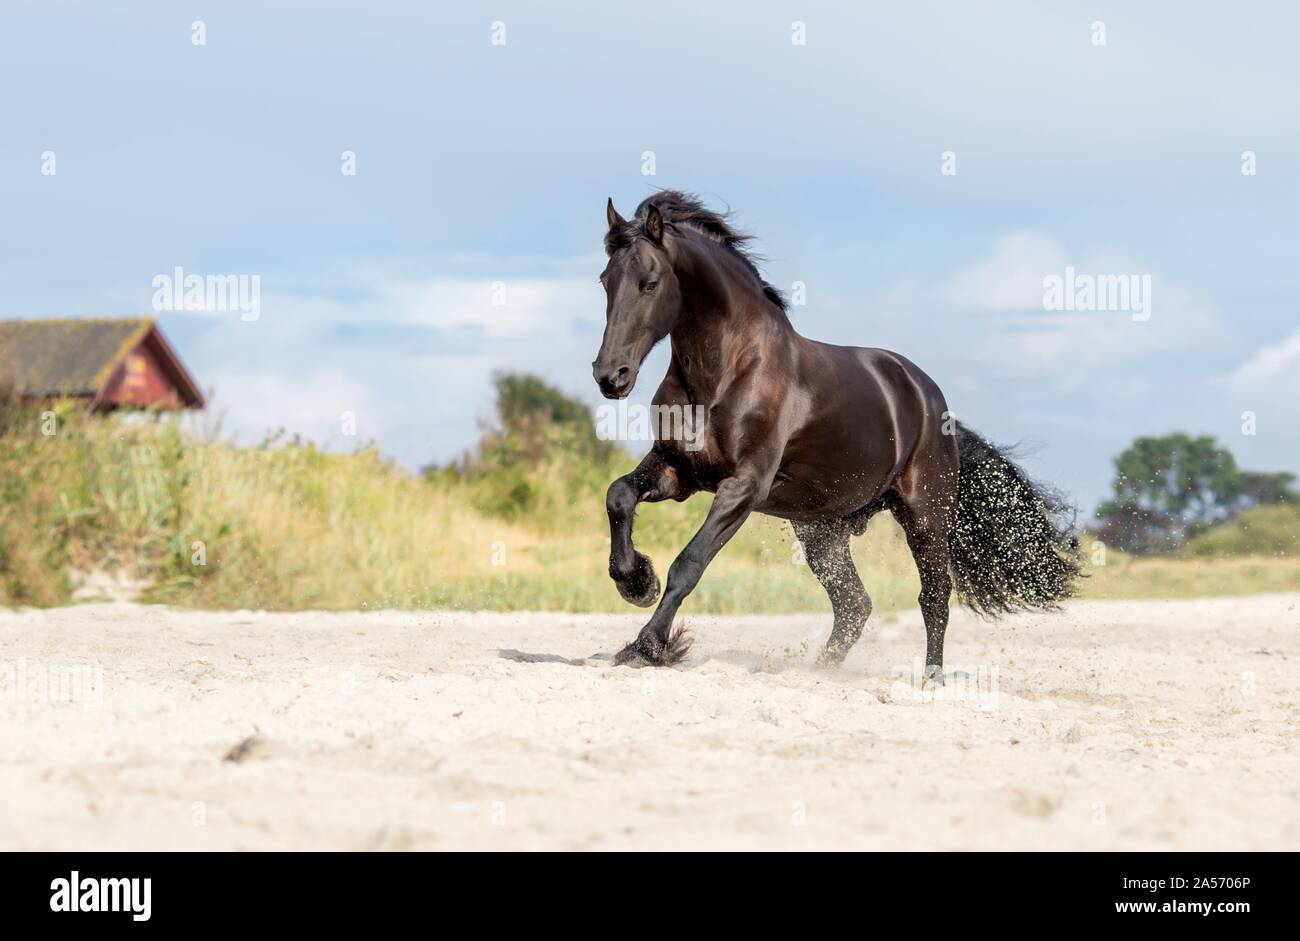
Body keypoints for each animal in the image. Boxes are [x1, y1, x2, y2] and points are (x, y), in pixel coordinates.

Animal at [592, 191, 1082, 681]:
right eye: (605, 280)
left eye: (650, 283)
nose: (610, 376)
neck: (726, 372)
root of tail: (931, 401)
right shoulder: (679, 471)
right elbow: (618, 495)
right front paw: (636, 581)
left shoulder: (743, 487)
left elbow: (689, 563)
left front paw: (646, 647)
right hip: (822, 531)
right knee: (854, 606)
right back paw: (822, 669)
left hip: (925, 517)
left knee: (933, 596)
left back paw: (931, 680)